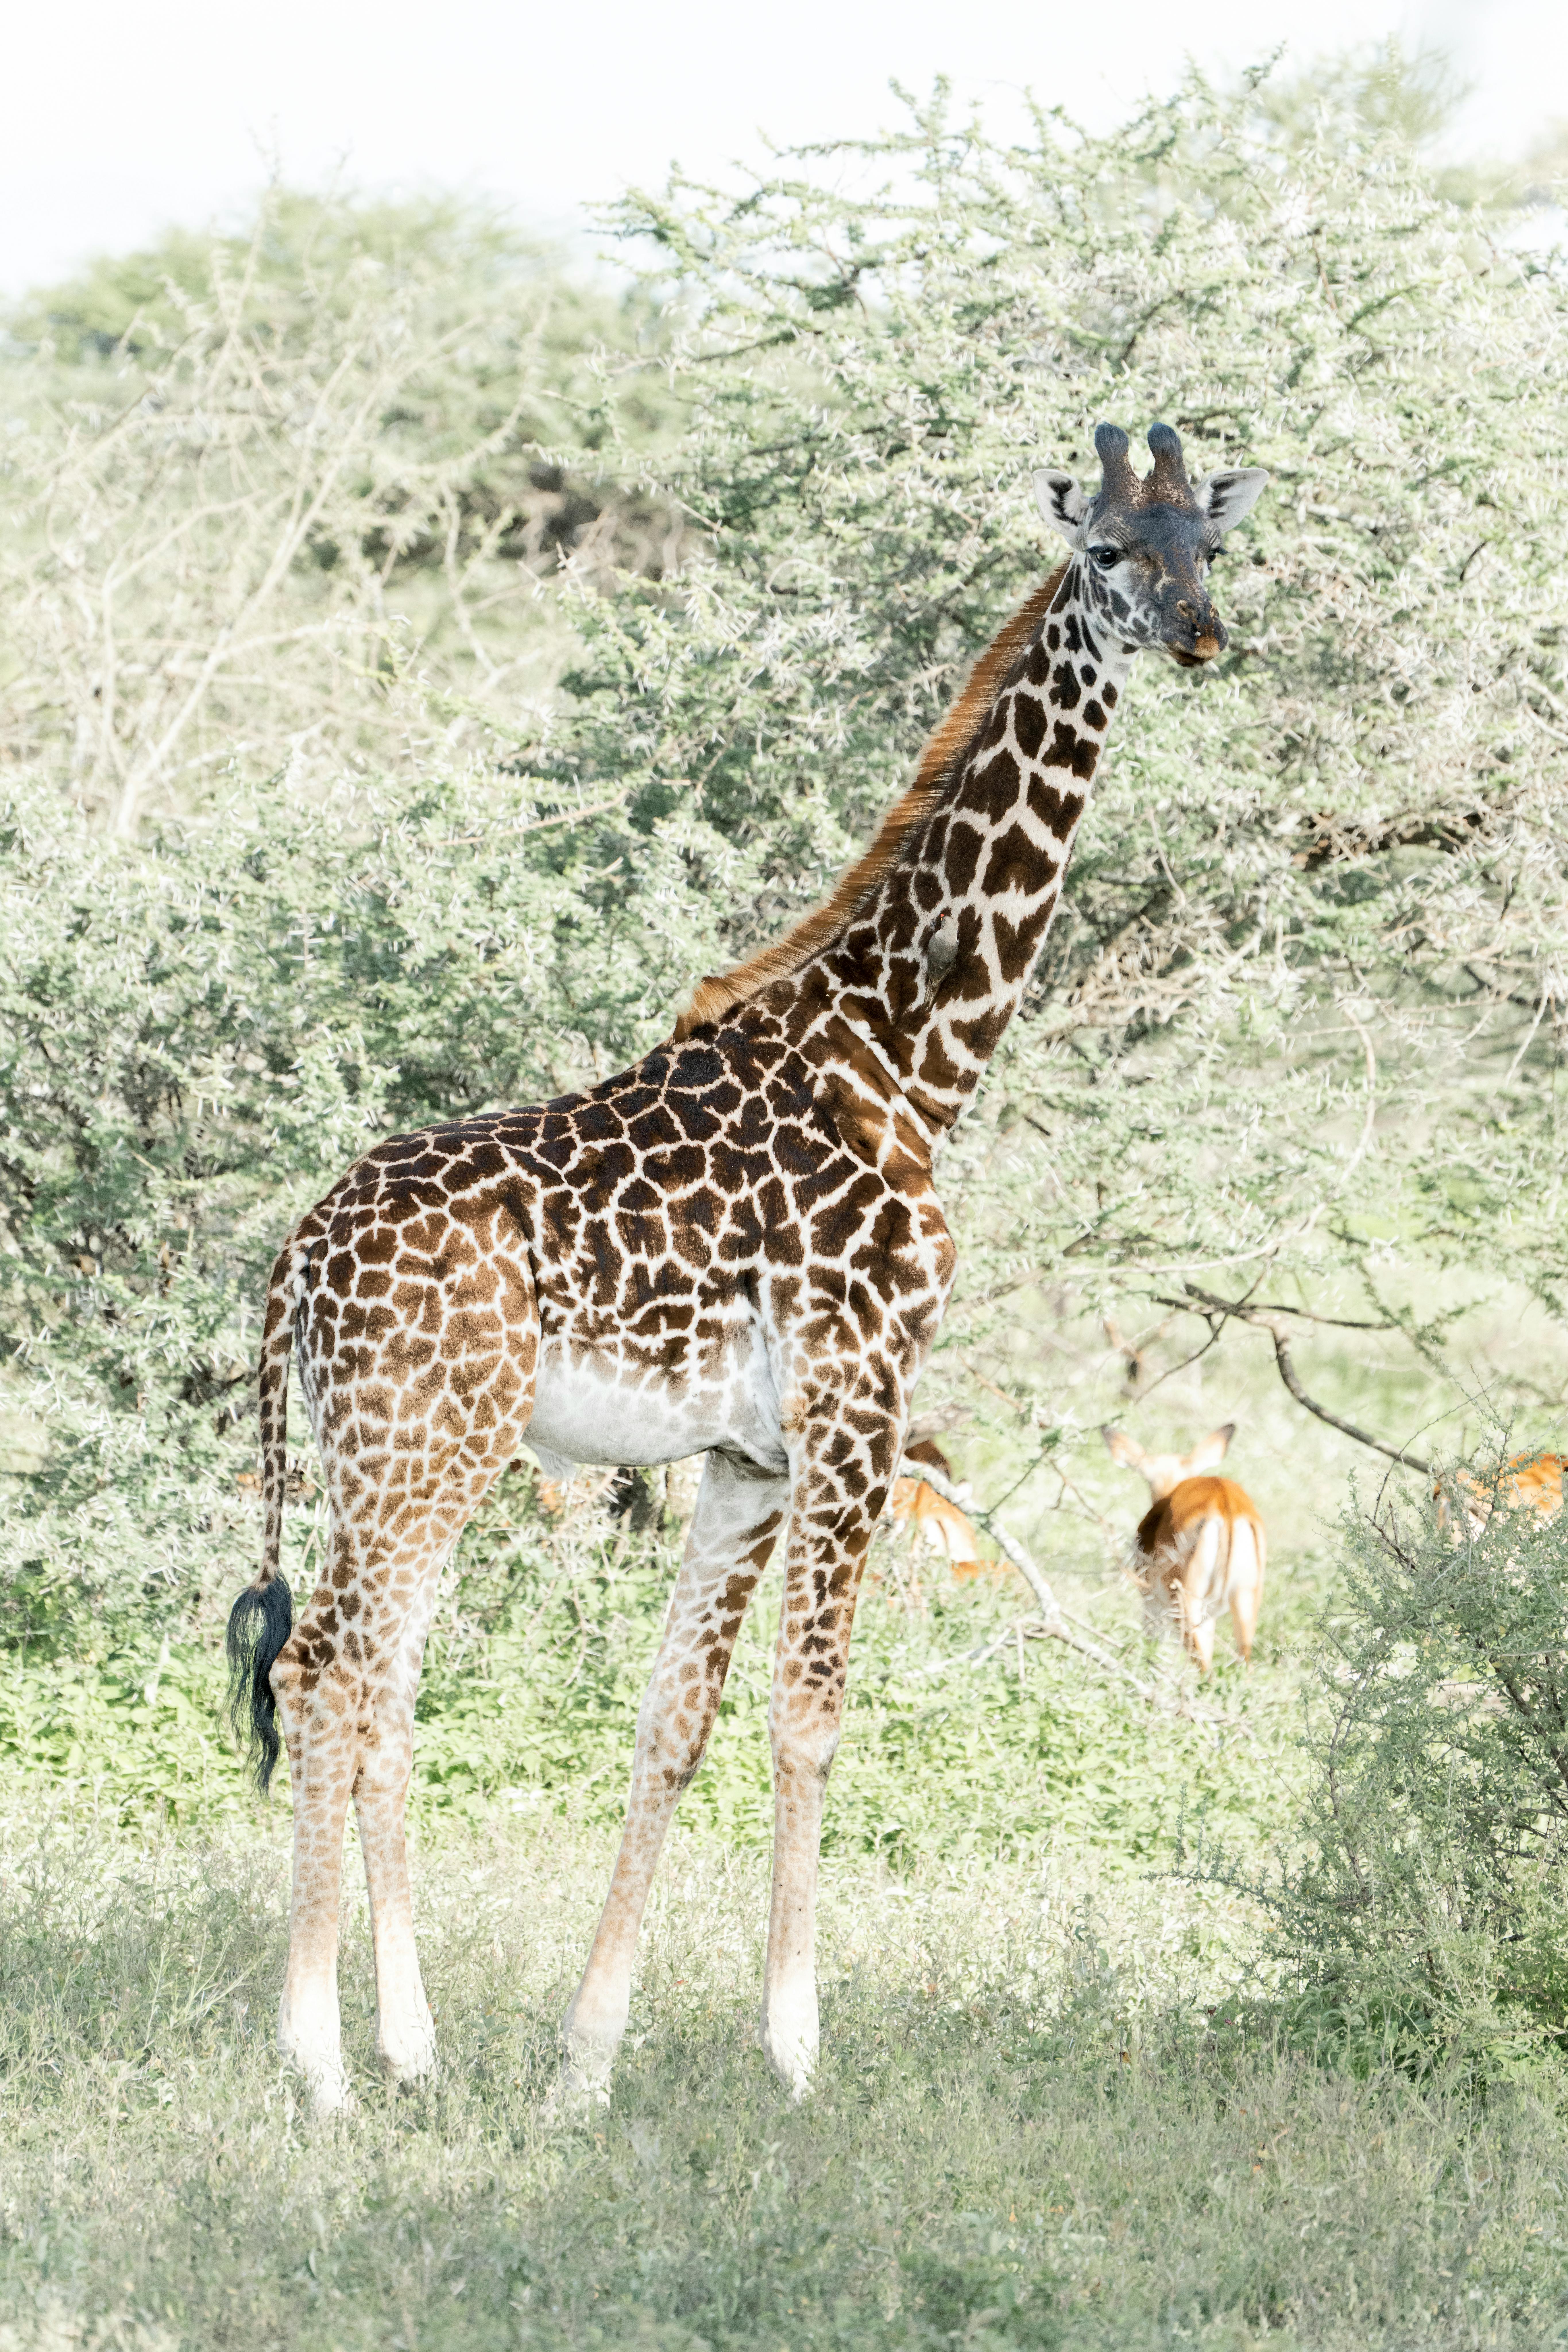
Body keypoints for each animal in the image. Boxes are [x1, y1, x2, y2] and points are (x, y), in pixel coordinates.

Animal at [226, 421, 1267, 2114]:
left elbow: (674, 1723)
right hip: (421, 1449)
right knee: (328, 1673)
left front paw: (585, 2063)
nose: (1195, 634)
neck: (909, 1061)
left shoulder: (748, 1458)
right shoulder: (858, 1409)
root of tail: (293, 1263)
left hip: (392, 1456)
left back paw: (414, 2049)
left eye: (1209, 546)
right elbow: (812, 1713)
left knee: (382, 1688)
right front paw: (795, 2049)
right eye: (1109, 550)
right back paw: (319, 2064)